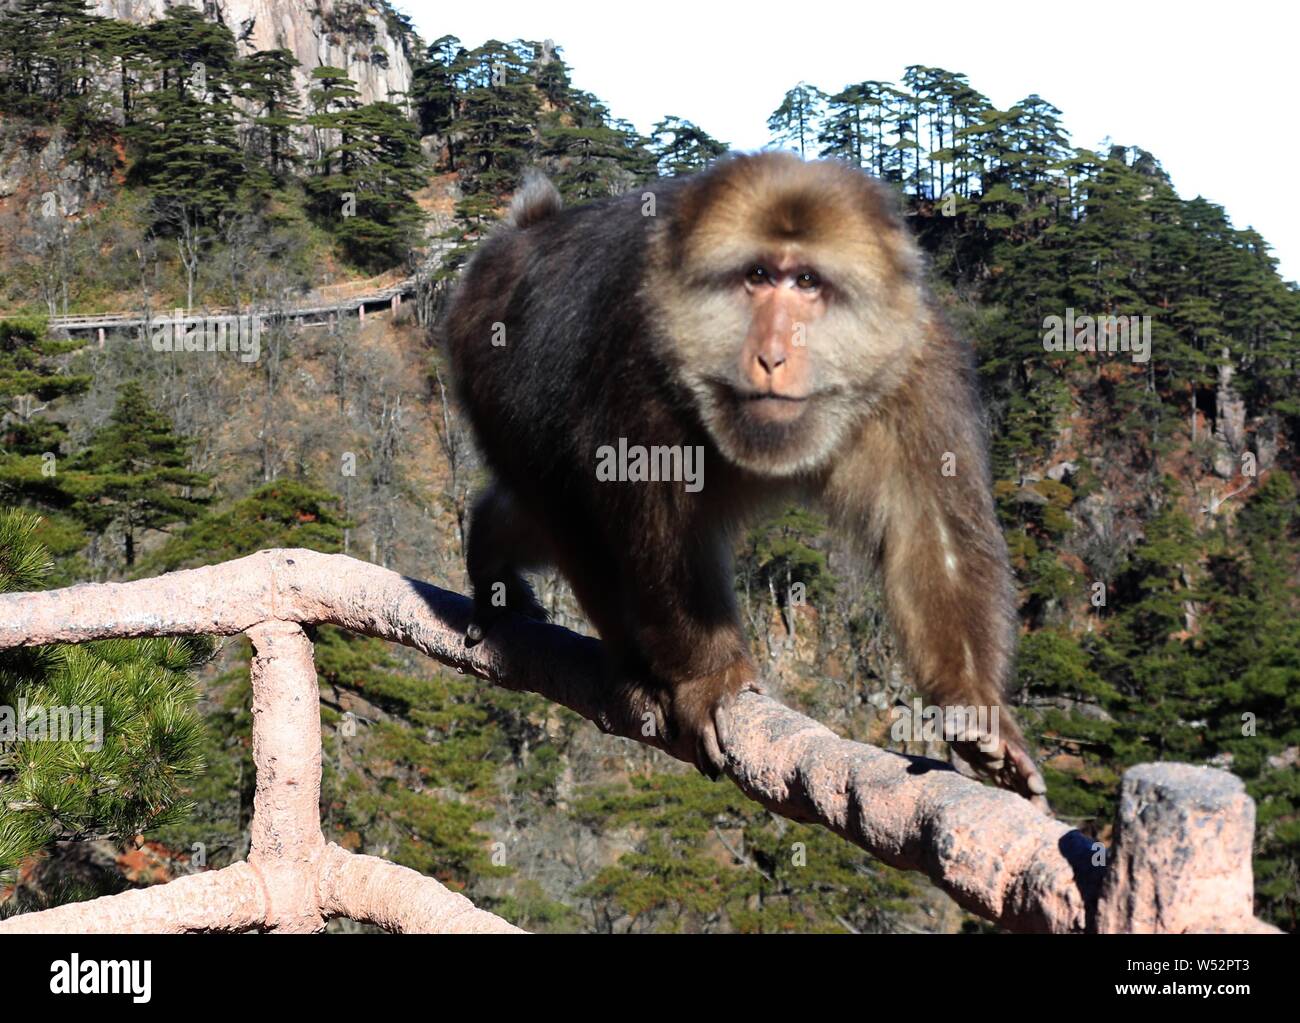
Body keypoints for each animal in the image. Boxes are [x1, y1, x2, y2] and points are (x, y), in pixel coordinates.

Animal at [442, 151, 1048, 807]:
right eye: (757, 275)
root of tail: (522, 236)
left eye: (806, 282)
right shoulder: (640, 362)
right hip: (484, 358)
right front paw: (707, 676)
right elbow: (654, 528)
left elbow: (929, 528)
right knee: (566, 510)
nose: (772, 355)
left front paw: (975, 709)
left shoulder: (913, 363)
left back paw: (495, 554)